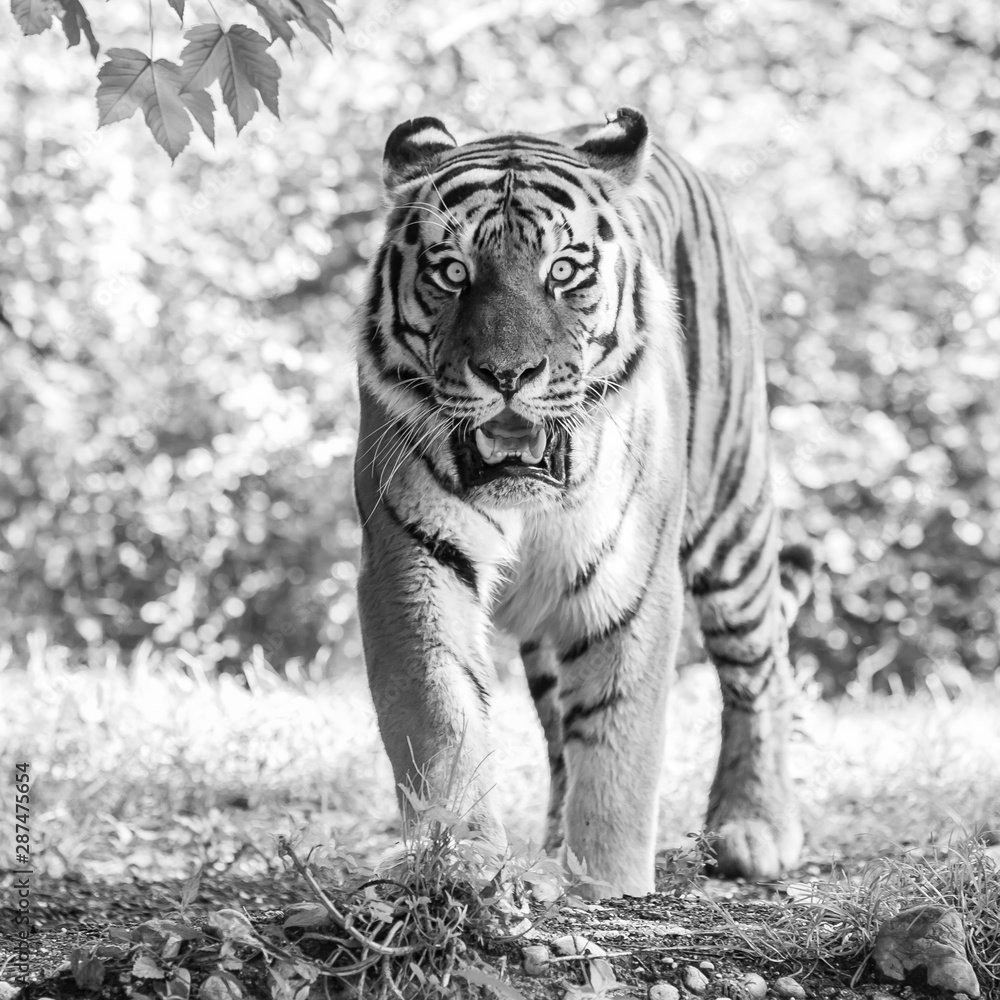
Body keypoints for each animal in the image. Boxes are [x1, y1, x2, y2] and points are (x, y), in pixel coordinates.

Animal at [353, 107, 814, 898]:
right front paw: (462, 859)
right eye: (452, 272)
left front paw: (608, 881)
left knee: (760, 668)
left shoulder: (633, 583)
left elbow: (620, 738)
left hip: (733, 514)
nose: (508, 375)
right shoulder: (411, 559)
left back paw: (754, 828)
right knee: (556, 724)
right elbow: (443, 712)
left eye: (563, 271)